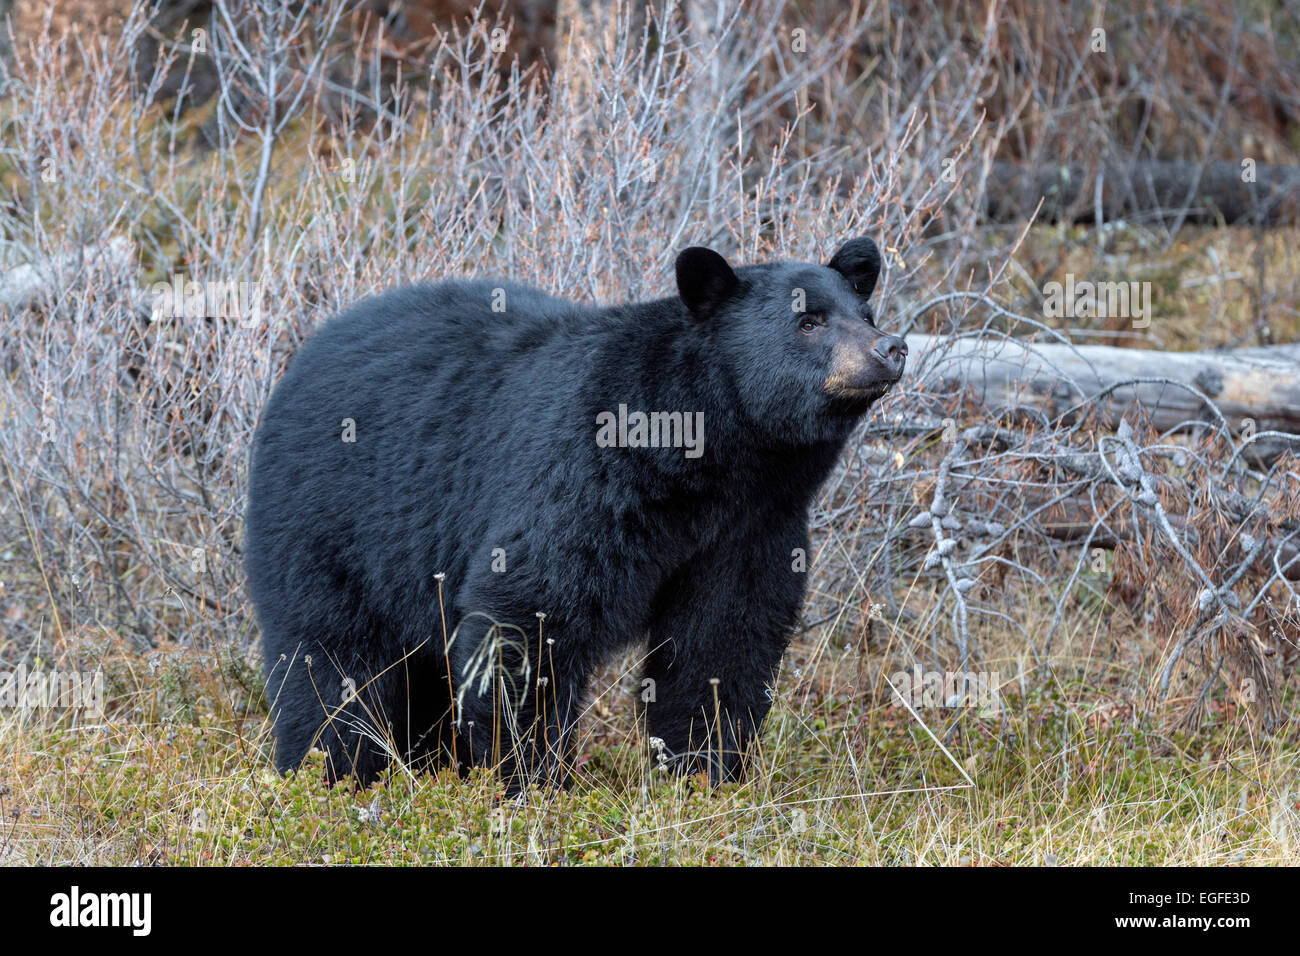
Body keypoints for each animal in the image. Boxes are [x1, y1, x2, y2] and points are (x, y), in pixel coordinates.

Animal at [245, 237, 906, 791]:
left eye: (864, 313)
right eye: (808, 321)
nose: (890, 347)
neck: (713, 459)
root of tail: (306, 353)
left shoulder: (752, 525)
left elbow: (724, 637)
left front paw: (703, 772)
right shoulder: (589, 478)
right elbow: (531, 611)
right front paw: (527, 777)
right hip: (335, 523)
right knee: (332, 660)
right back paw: (333, 772)